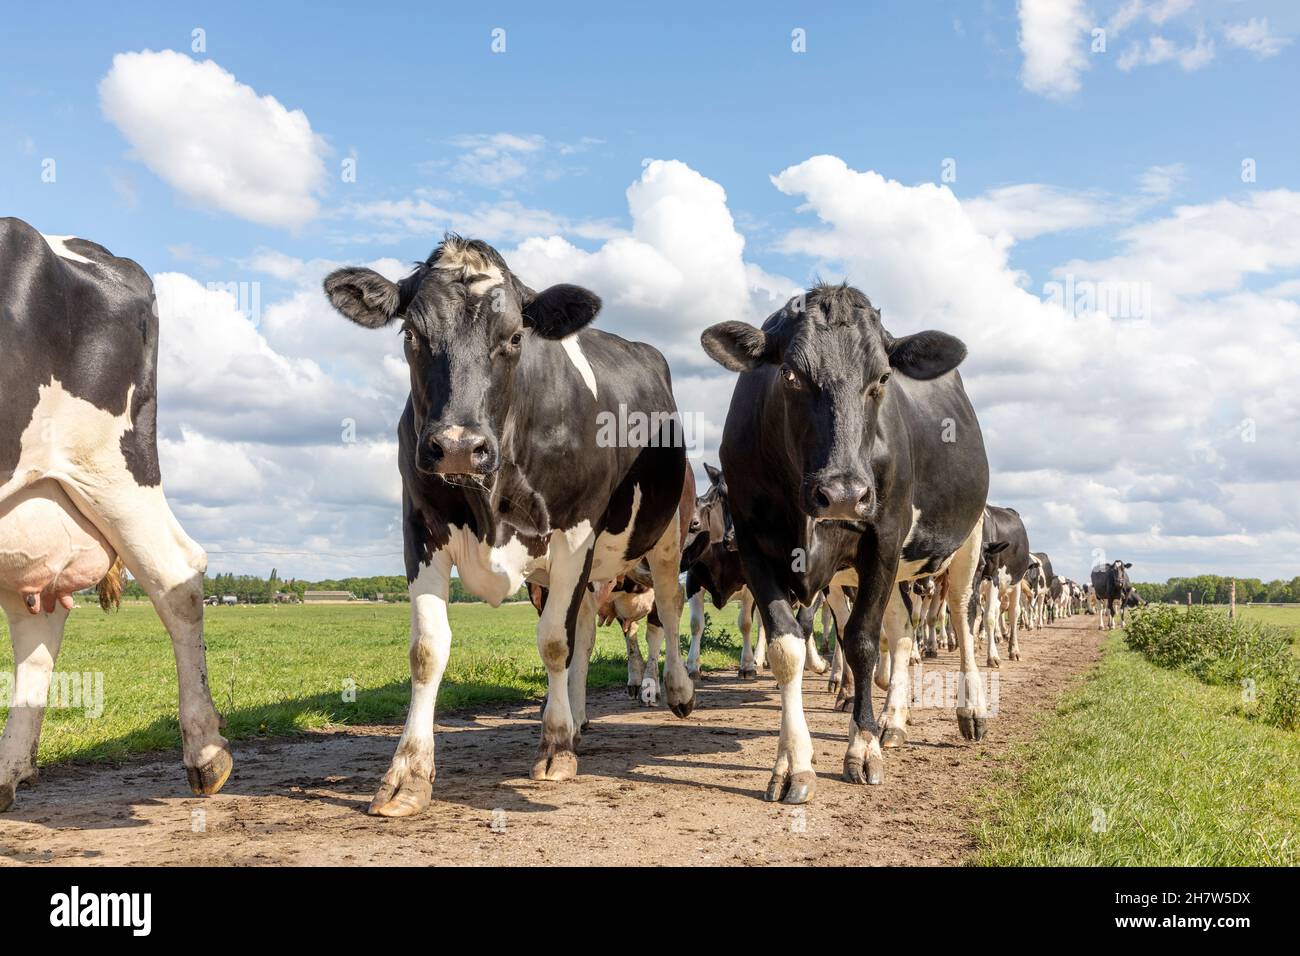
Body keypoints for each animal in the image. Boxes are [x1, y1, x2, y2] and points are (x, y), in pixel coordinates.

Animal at [323, 235, 693, 817]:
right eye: (411, 334)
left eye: (515, 336)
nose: (458, 446)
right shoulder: (421, 528)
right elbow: (428, 650)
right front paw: (407, 774)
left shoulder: (575, 534)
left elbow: (555, 644)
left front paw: (555, 749)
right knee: (586, 628)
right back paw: (578, 718)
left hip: (667, 531)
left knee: (670, 607)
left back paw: (676, 691)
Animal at [701, 282, 991, 803]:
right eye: (789, 373)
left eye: (882, 378)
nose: (842, 494)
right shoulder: (755, 546)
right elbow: (788, 647)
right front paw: (794, 761)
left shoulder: (884, 534)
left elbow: (861, 642)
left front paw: (862, 748)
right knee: (901, 630)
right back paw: (893, 721)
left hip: (965, 539)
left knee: (960, 617)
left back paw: (970, 710)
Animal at [970, 505, 1032, 667]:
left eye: (982, 565)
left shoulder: (993, 579)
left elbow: (989, 617)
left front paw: (992, 656)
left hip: (1016, 582)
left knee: (1013, 612)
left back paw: (1014, 650)